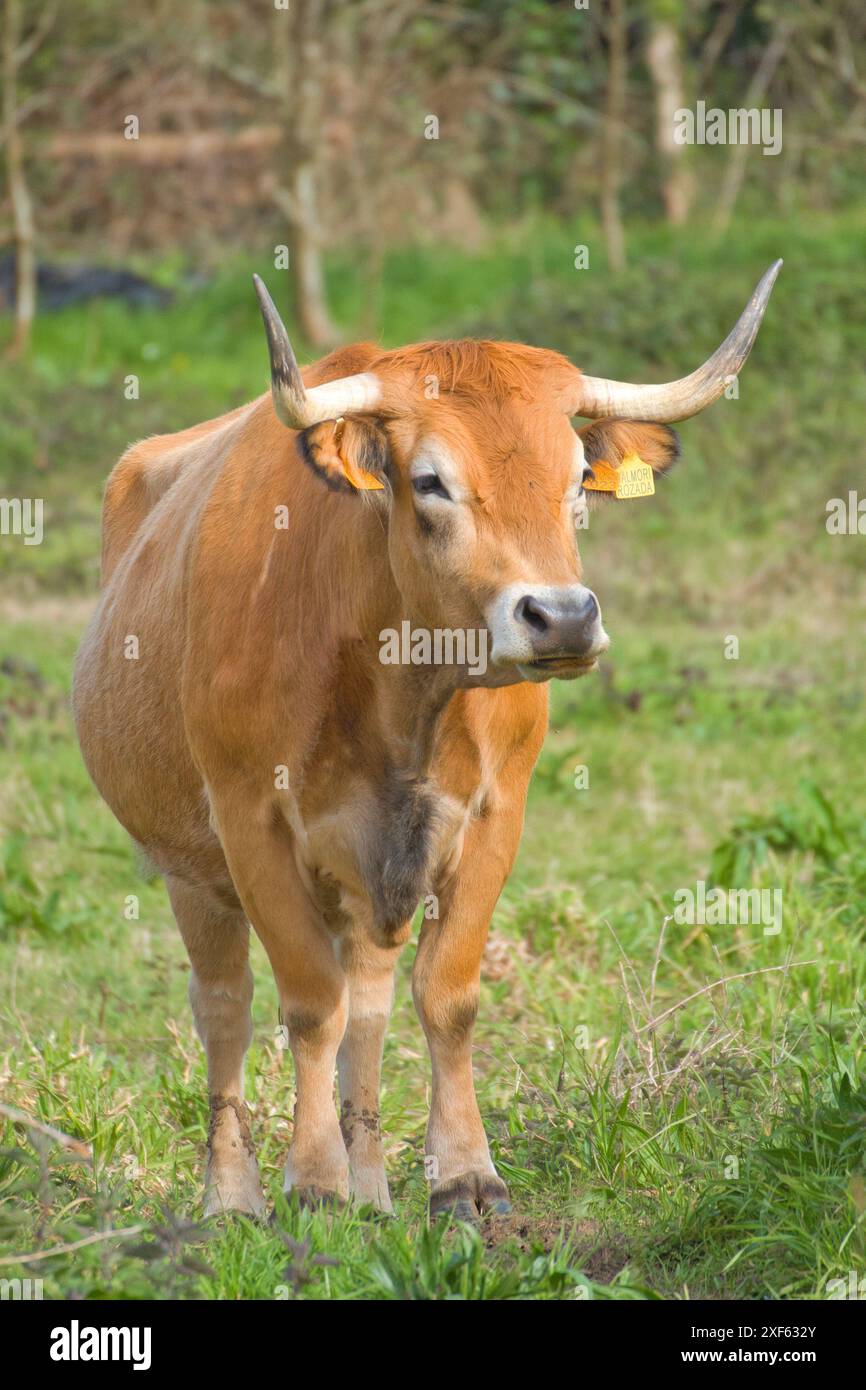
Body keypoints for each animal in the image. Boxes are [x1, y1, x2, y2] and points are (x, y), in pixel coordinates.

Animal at [73, 261, 780, 1220]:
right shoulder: (250, 822)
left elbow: (444, 999)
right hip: (190, 867)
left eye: (576, 480)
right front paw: (314, 1182)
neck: (397, 690)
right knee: (225, 1005)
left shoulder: (491, 816)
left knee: (367, 1006)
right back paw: (233, 1197)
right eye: (433, 481)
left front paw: (463, 1176)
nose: (562, 617)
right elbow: (305, 1004)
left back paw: (373, 1188)